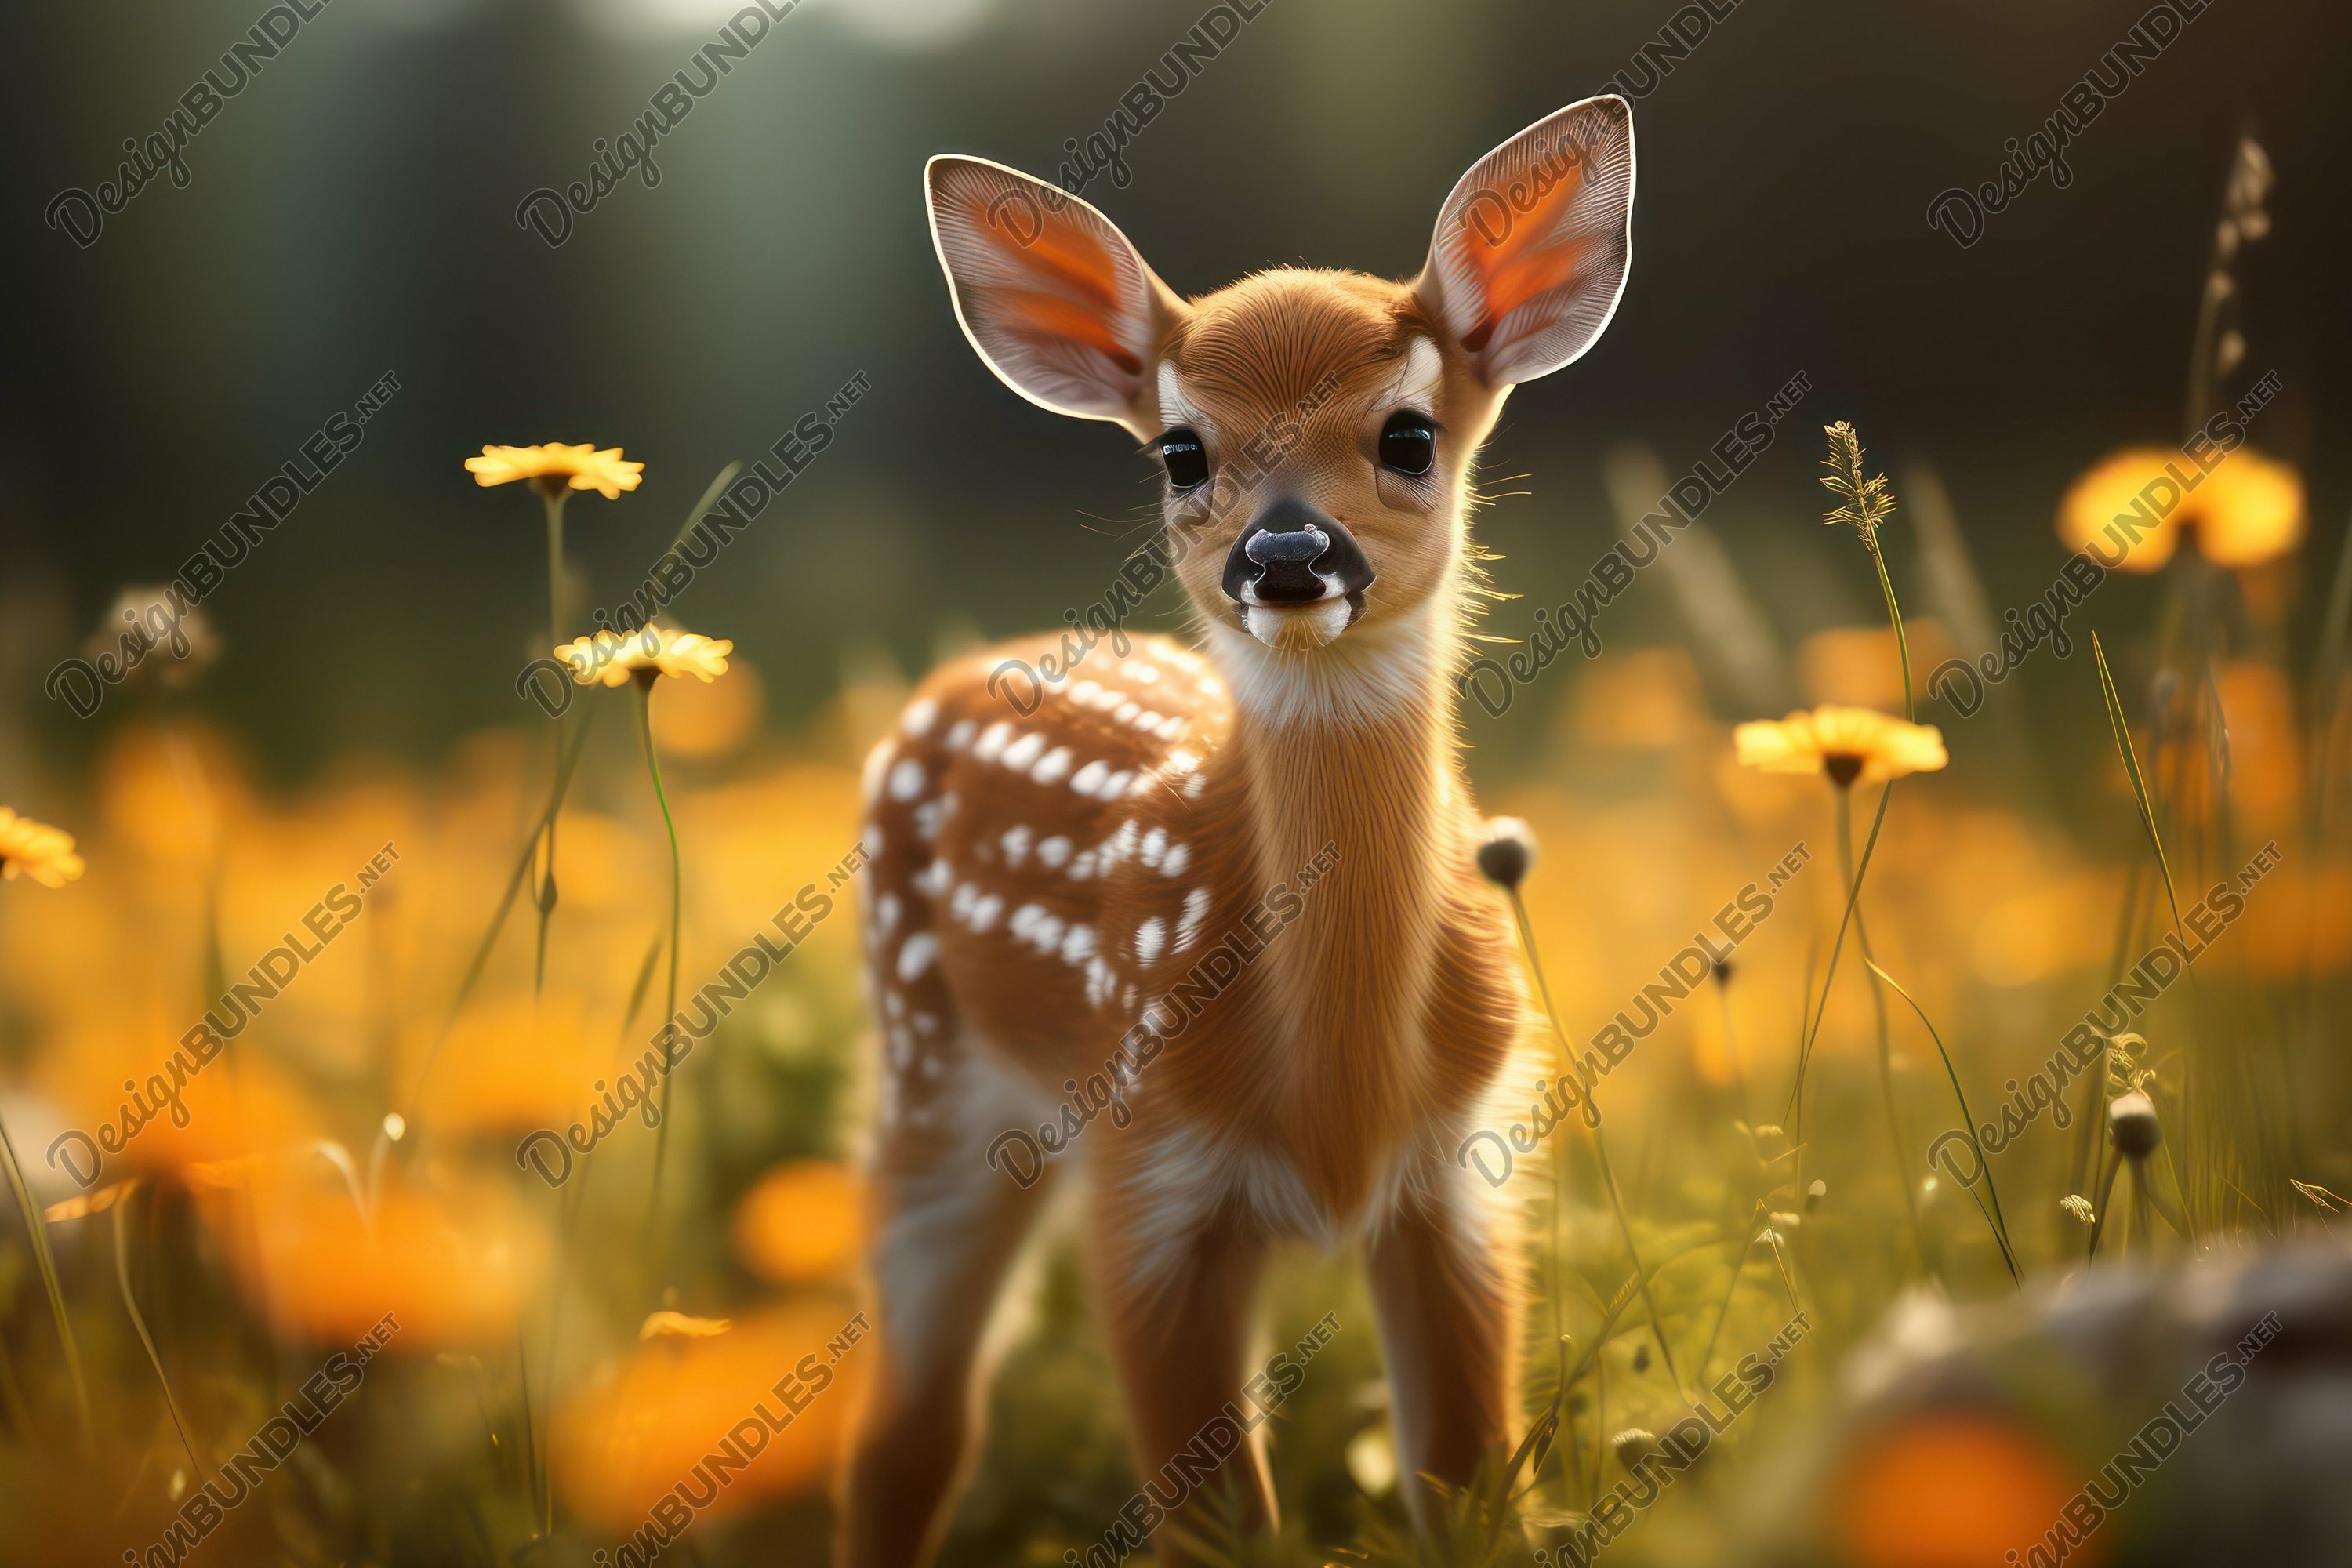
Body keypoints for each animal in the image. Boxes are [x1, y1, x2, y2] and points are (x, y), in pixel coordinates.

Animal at [840, 95, 1636, 1567]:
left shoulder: (1465, 1169)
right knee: (911, 1429)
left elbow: (1470, 1487)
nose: (1286, 557)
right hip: (929, 1070)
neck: (1336, 1094)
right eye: (1182, 451)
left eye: (1409, 436)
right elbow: (1220, 1524)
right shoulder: (1147, 1165)